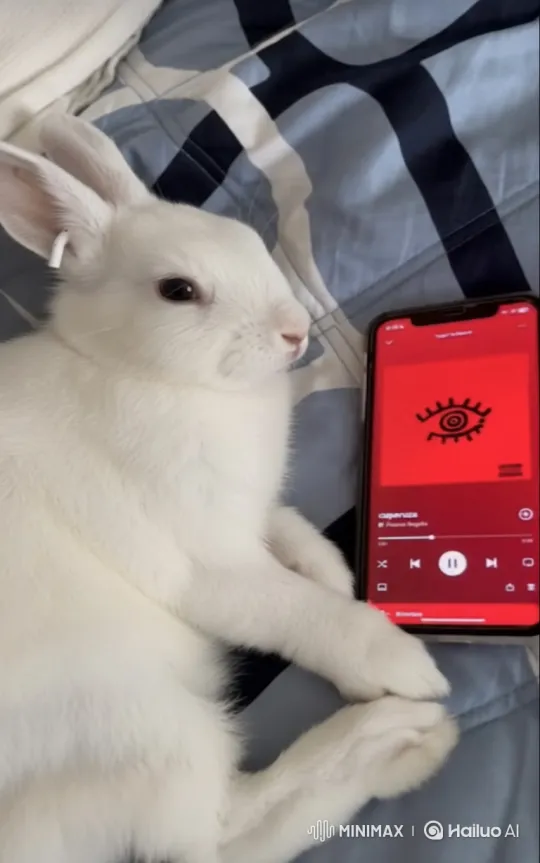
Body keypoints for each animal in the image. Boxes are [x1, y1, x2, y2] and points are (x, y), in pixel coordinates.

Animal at [0, 115, 458, 863]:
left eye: (245, 237)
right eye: (178, 291)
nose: (295, 332)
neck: (133, 370)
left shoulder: (252, 511)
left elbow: (292, 535)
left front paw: (335, 572)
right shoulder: (209, 565)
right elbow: (305, 613)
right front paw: (398, 664)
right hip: (139, 724)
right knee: (223, 831)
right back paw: (401, 735)